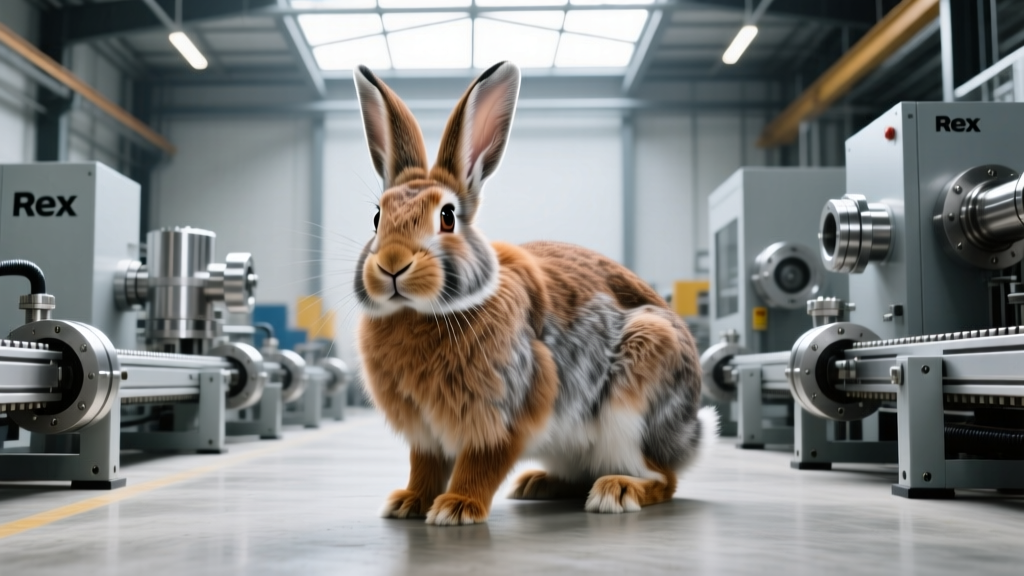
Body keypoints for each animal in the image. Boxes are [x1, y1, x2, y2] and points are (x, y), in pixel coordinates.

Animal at [352, 61, 717, 526]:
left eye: (447, 216)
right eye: (377, 217)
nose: (392, 264)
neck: (425, 312)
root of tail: (690, 433)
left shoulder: (509, 411)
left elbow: (481, 463)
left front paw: (457, 507)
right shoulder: (426, 433)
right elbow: (425, 466)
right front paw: (408, 502)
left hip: (633, 403)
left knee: (663, 479)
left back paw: (617, 491)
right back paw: (536, 484)